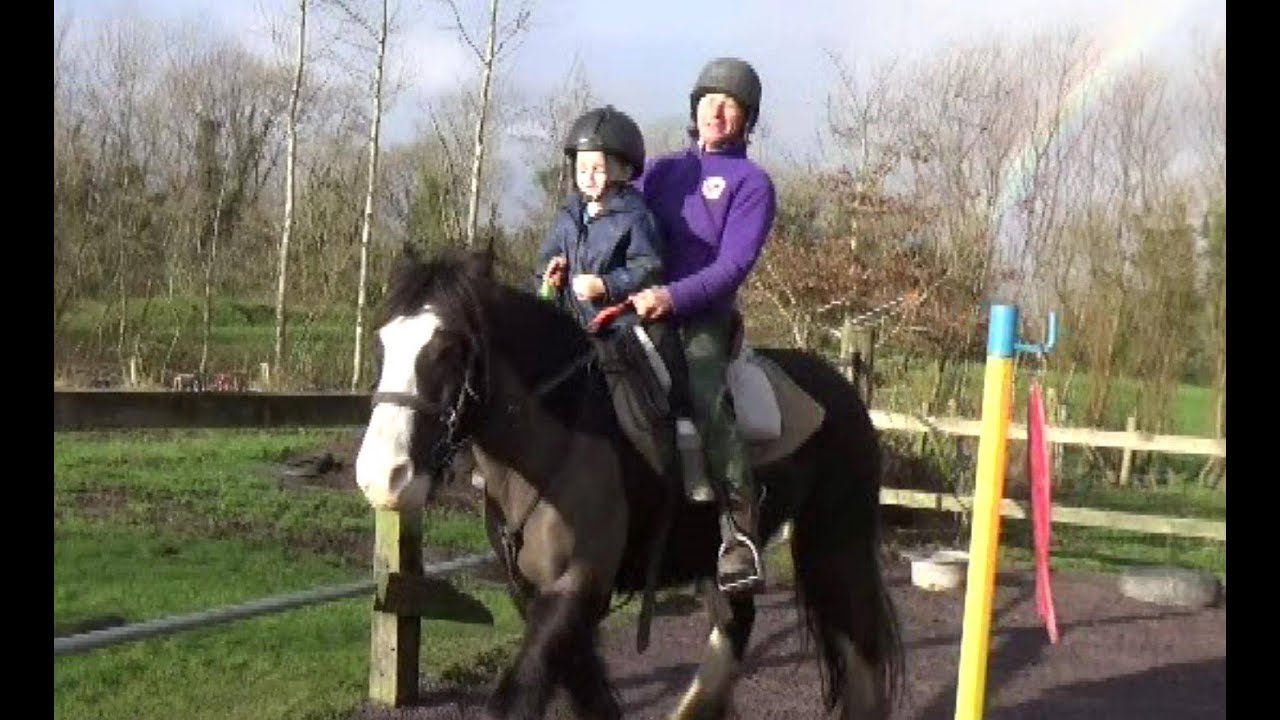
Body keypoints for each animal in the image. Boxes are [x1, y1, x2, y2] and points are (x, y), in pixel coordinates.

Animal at [355, 246, 903, 719]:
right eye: (383, 342)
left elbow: (519, 695)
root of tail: (843, 389)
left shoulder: (579, 583)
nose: (383, 477)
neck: (561, 436)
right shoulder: (533, 592)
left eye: (448, 348)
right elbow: (587, 692)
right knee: (737, 625)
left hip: (837, 544)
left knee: (862, 650)